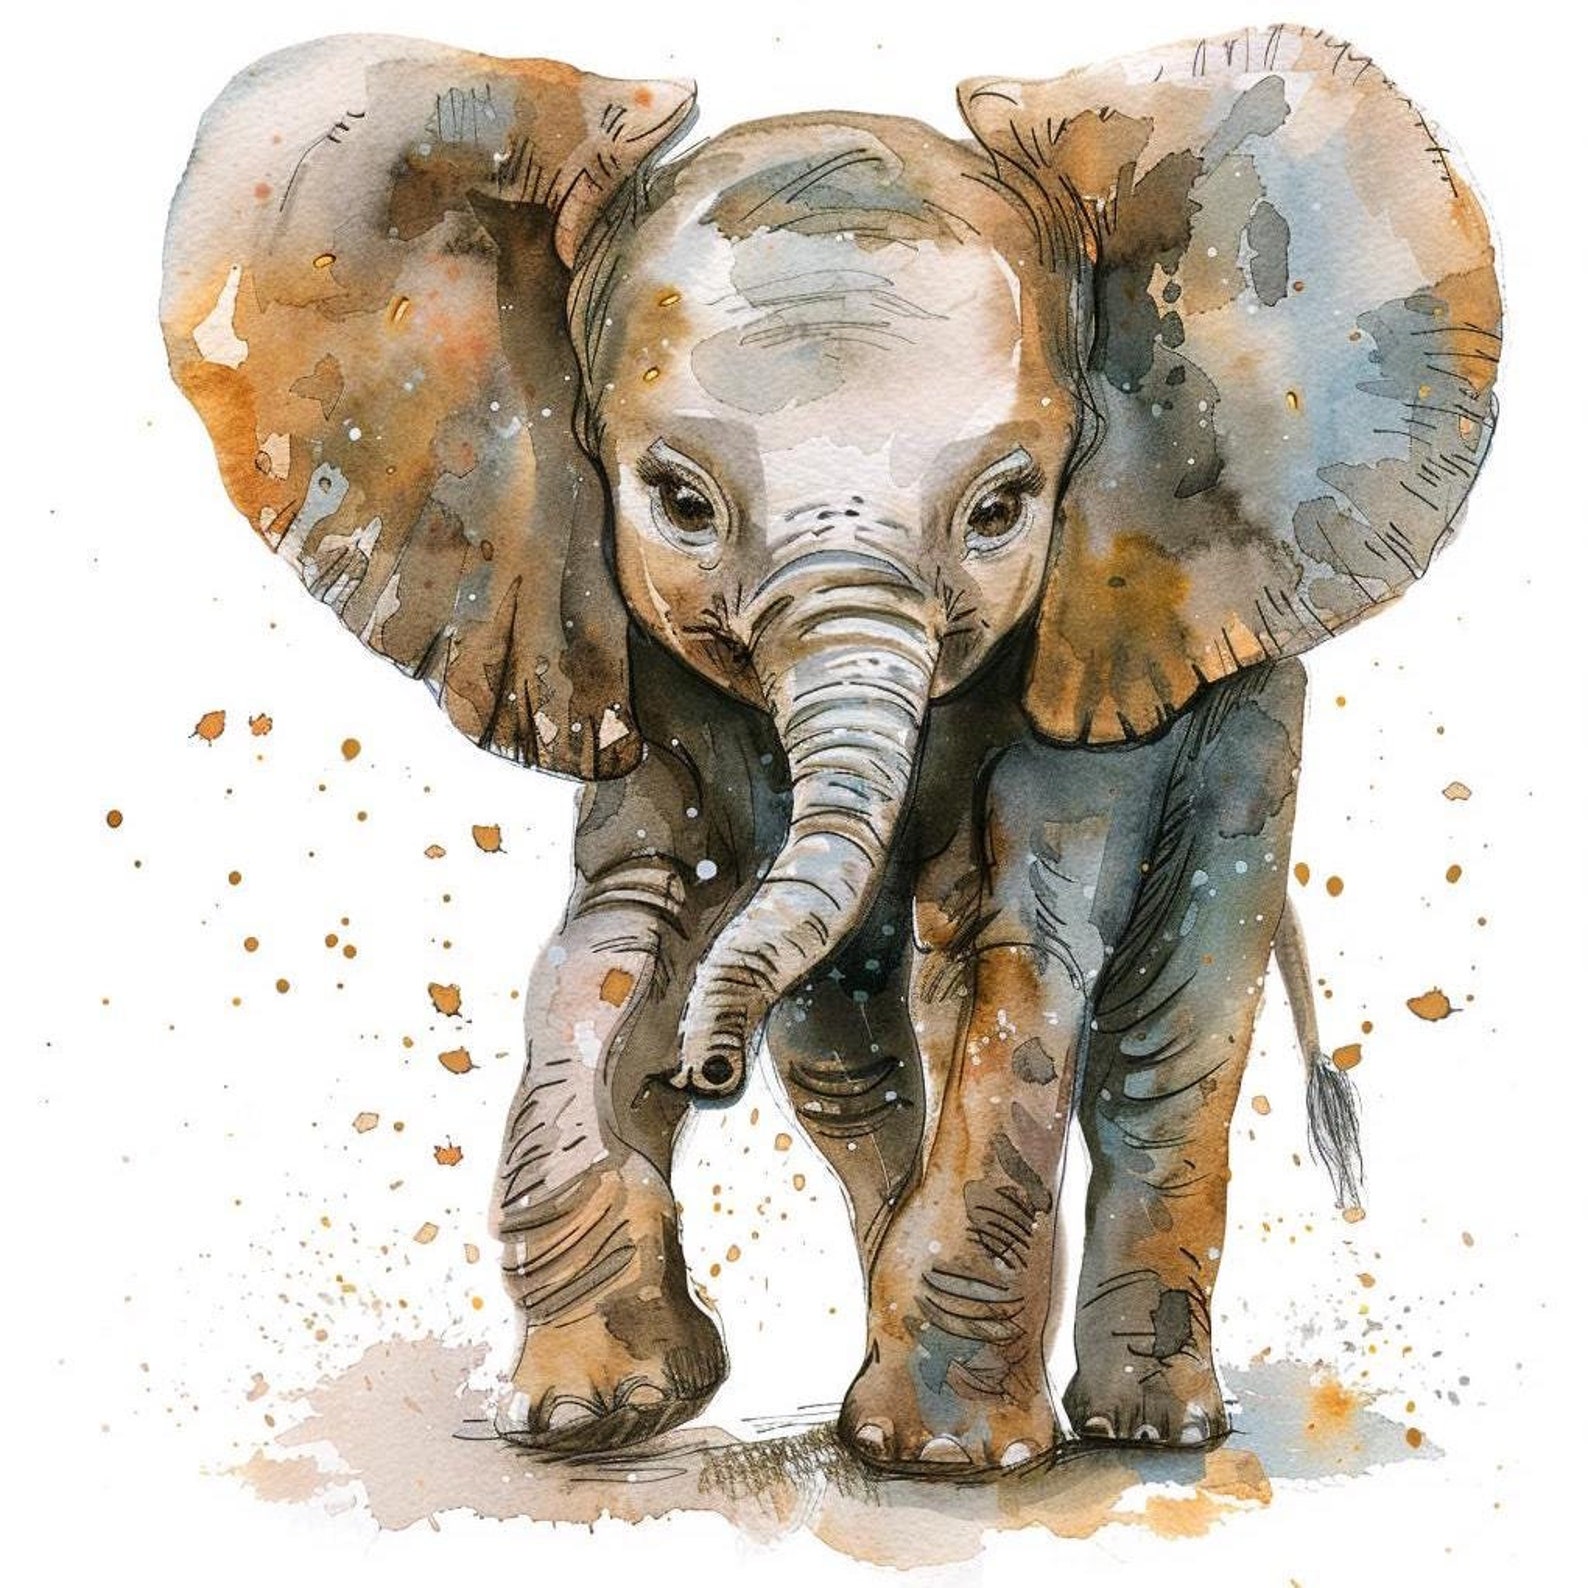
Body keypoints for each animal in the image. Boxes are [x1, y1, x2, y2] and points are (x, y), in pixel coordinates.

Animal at [161, 24, 1500, 1478]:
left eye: (1004, 506)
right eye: (678, 501)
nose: (702, 1068)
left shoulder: (1096, 633)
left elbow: (1032, 944)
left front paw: (947, 1456)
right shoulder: (607, 622)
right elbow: (623, 928)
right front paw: (590, 1414)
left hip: (1250, 715)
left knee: (1161, 1035)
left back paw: (1146, 1426)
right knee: (848, 1043)